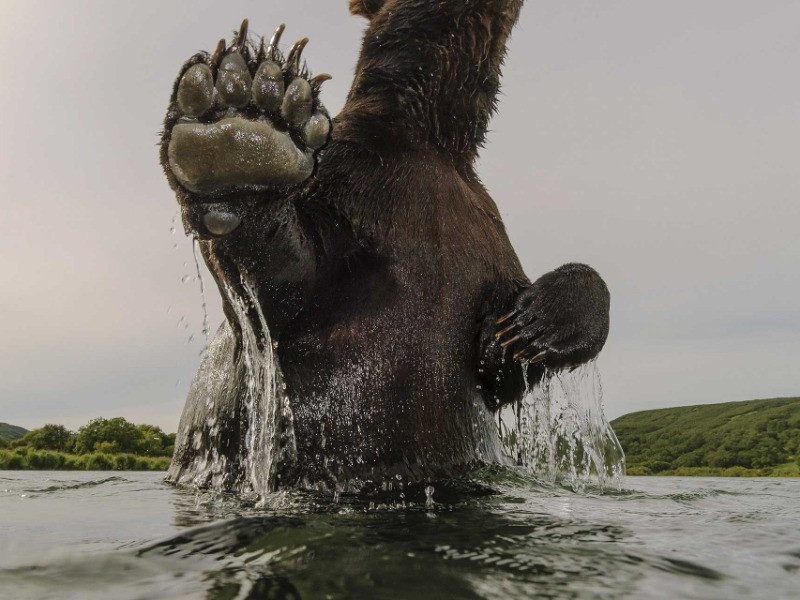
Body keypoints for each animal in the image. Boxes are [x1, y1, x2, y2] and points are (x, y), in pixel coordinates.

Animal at [160, 0, 610, 493]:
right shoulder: (348, 177)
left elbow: (498, 367)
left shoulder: (485, 235)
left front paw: (529, 328)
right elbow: (279, 289)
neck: (433, 136)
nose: (526, 327)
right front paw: (245, 128)